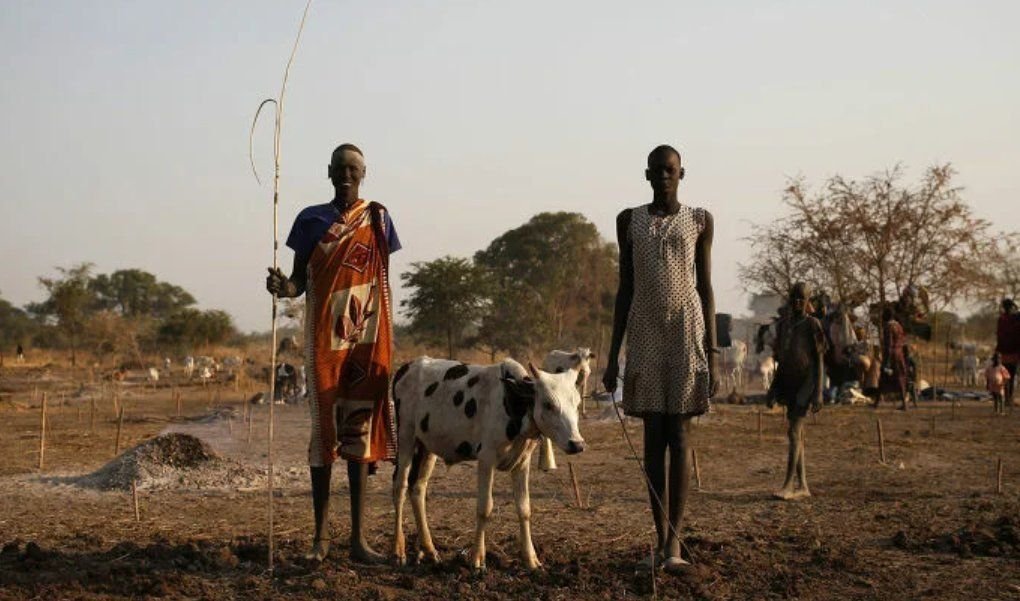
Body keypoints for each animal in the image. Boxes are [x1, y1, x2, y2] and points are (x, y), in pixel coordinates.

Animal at [389, 357, 587, 571]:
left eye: (577, 404)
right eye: (548, 404)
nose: (577, 444)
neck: (511, 401)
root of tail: (407, 366)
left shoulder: (522, 464)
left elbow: (524, 509)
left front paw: (531, 559)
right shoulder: (486, 459)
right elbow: (484, 508)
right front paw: (477, 558)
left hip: (427, 447)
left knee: (418, 488)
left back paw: (430, 551)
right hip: (406, 438)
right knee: (400, 487)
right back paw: (398, 550)